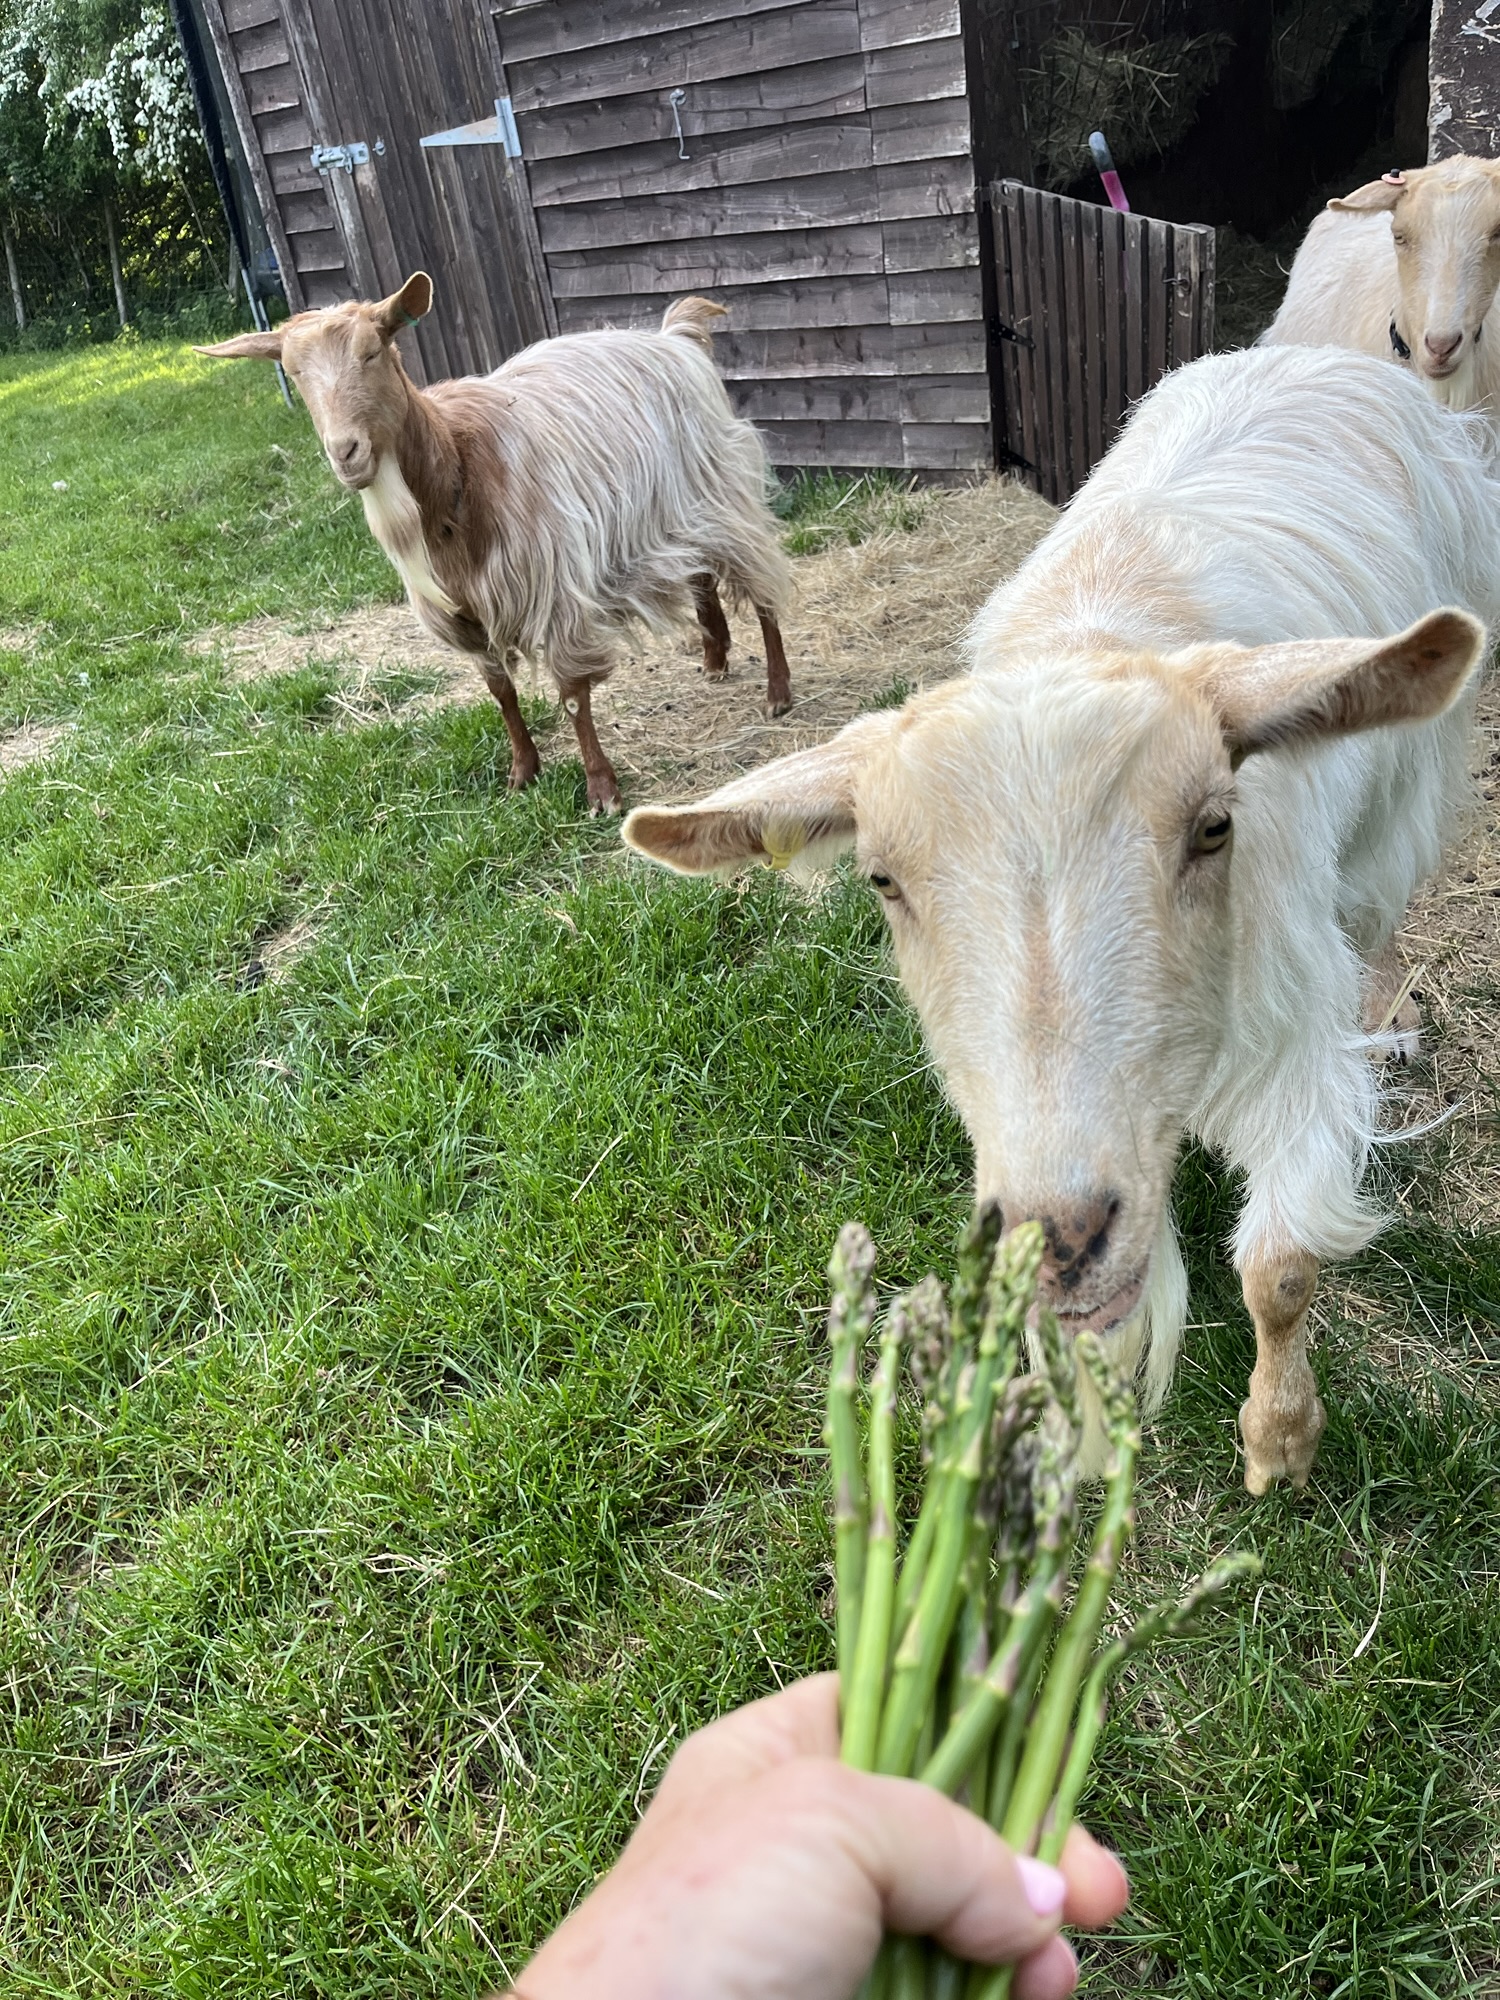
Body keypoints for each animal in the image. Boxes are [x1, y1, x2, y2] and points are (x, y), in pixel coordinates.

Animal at [198, 275, 793, 813]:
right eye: (294, 372)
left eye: (372, 351)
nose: (346, 452)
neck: (454, 472)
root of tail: (675, 338)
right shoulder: (466, 609)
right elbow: (500, 692)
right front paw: (522, 772)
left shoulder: (552, 588)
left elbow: (572, 697)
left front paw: (602, 791)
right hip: (675, 511)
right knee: (700, 572)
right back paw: (715, 656)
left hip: (724, 488)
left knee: (761, 586)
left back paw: (778, 693)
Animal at [622, 345, 1497, 1493]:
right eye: (882, 881)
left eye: (1214, 827)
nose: (1062, 1235)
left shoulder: (1291, 1028)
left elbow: (1279, 1269)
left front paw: (1279, 1440)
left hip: (1407, 800)